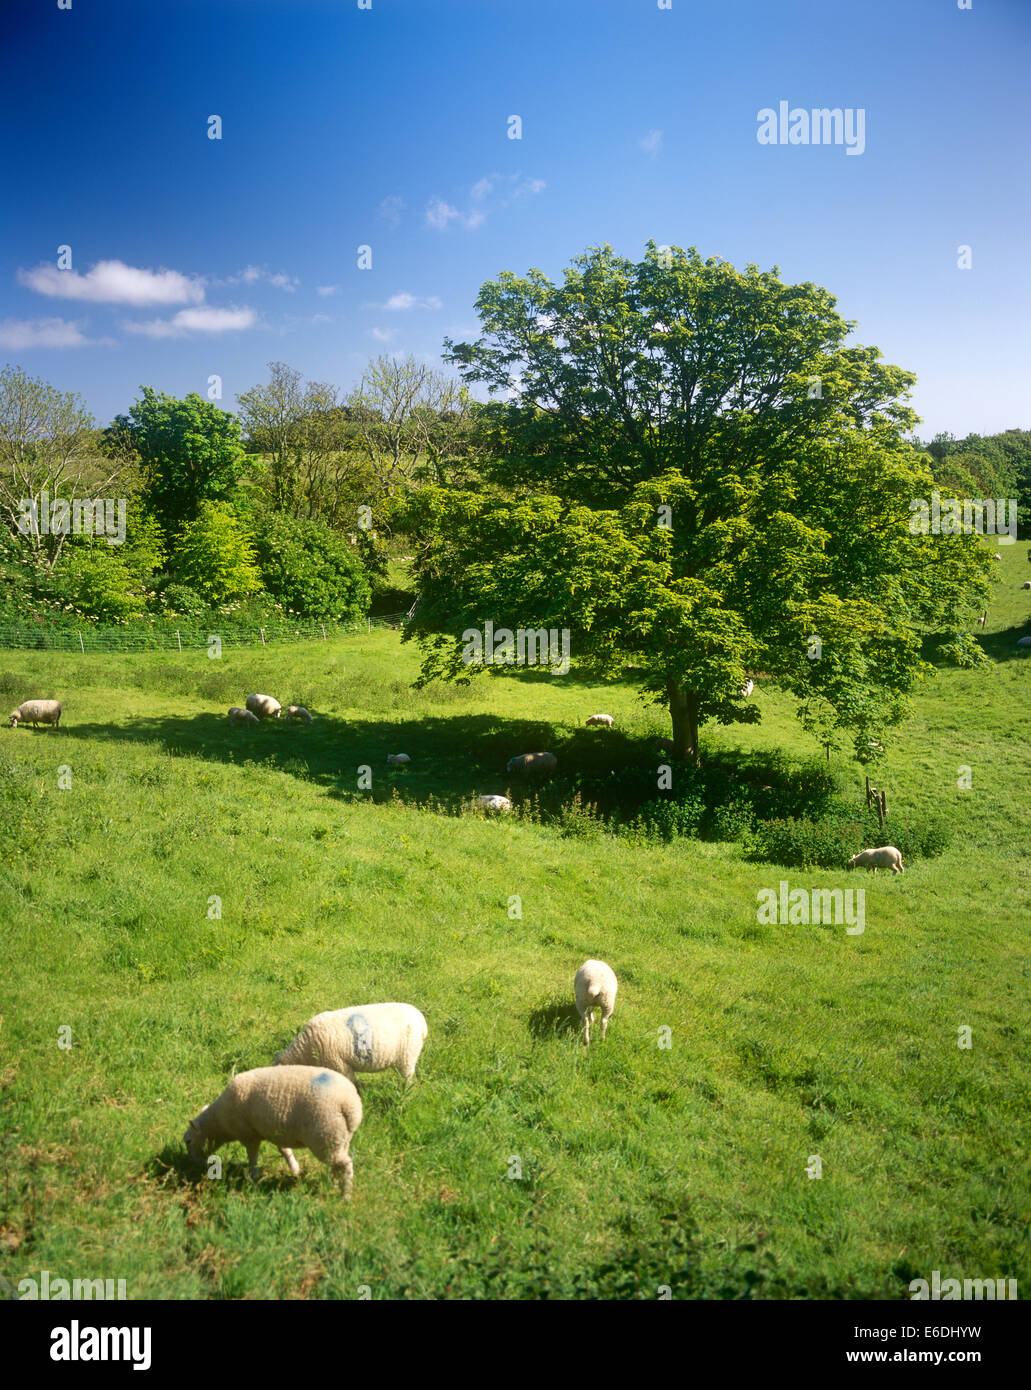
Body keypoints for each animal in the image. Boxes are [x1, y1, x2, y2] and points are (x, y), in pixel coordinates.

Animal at [186, 1061, 364, 1195]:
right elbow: (284, 1150)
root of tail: (350, 1105)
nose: (193, 1165)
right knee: (337, 1165)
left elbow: (252, 1156)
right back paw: (334, 1186)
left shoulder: (248, 1135)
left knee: (345, 1165)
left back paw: (346, 1195)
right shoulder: (276, 1131)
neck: (220, 1122)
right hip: (338, 1139)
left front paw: (253, 1177)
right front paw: (294, 1169)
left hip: (325, 1134)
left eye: (188, 1141)